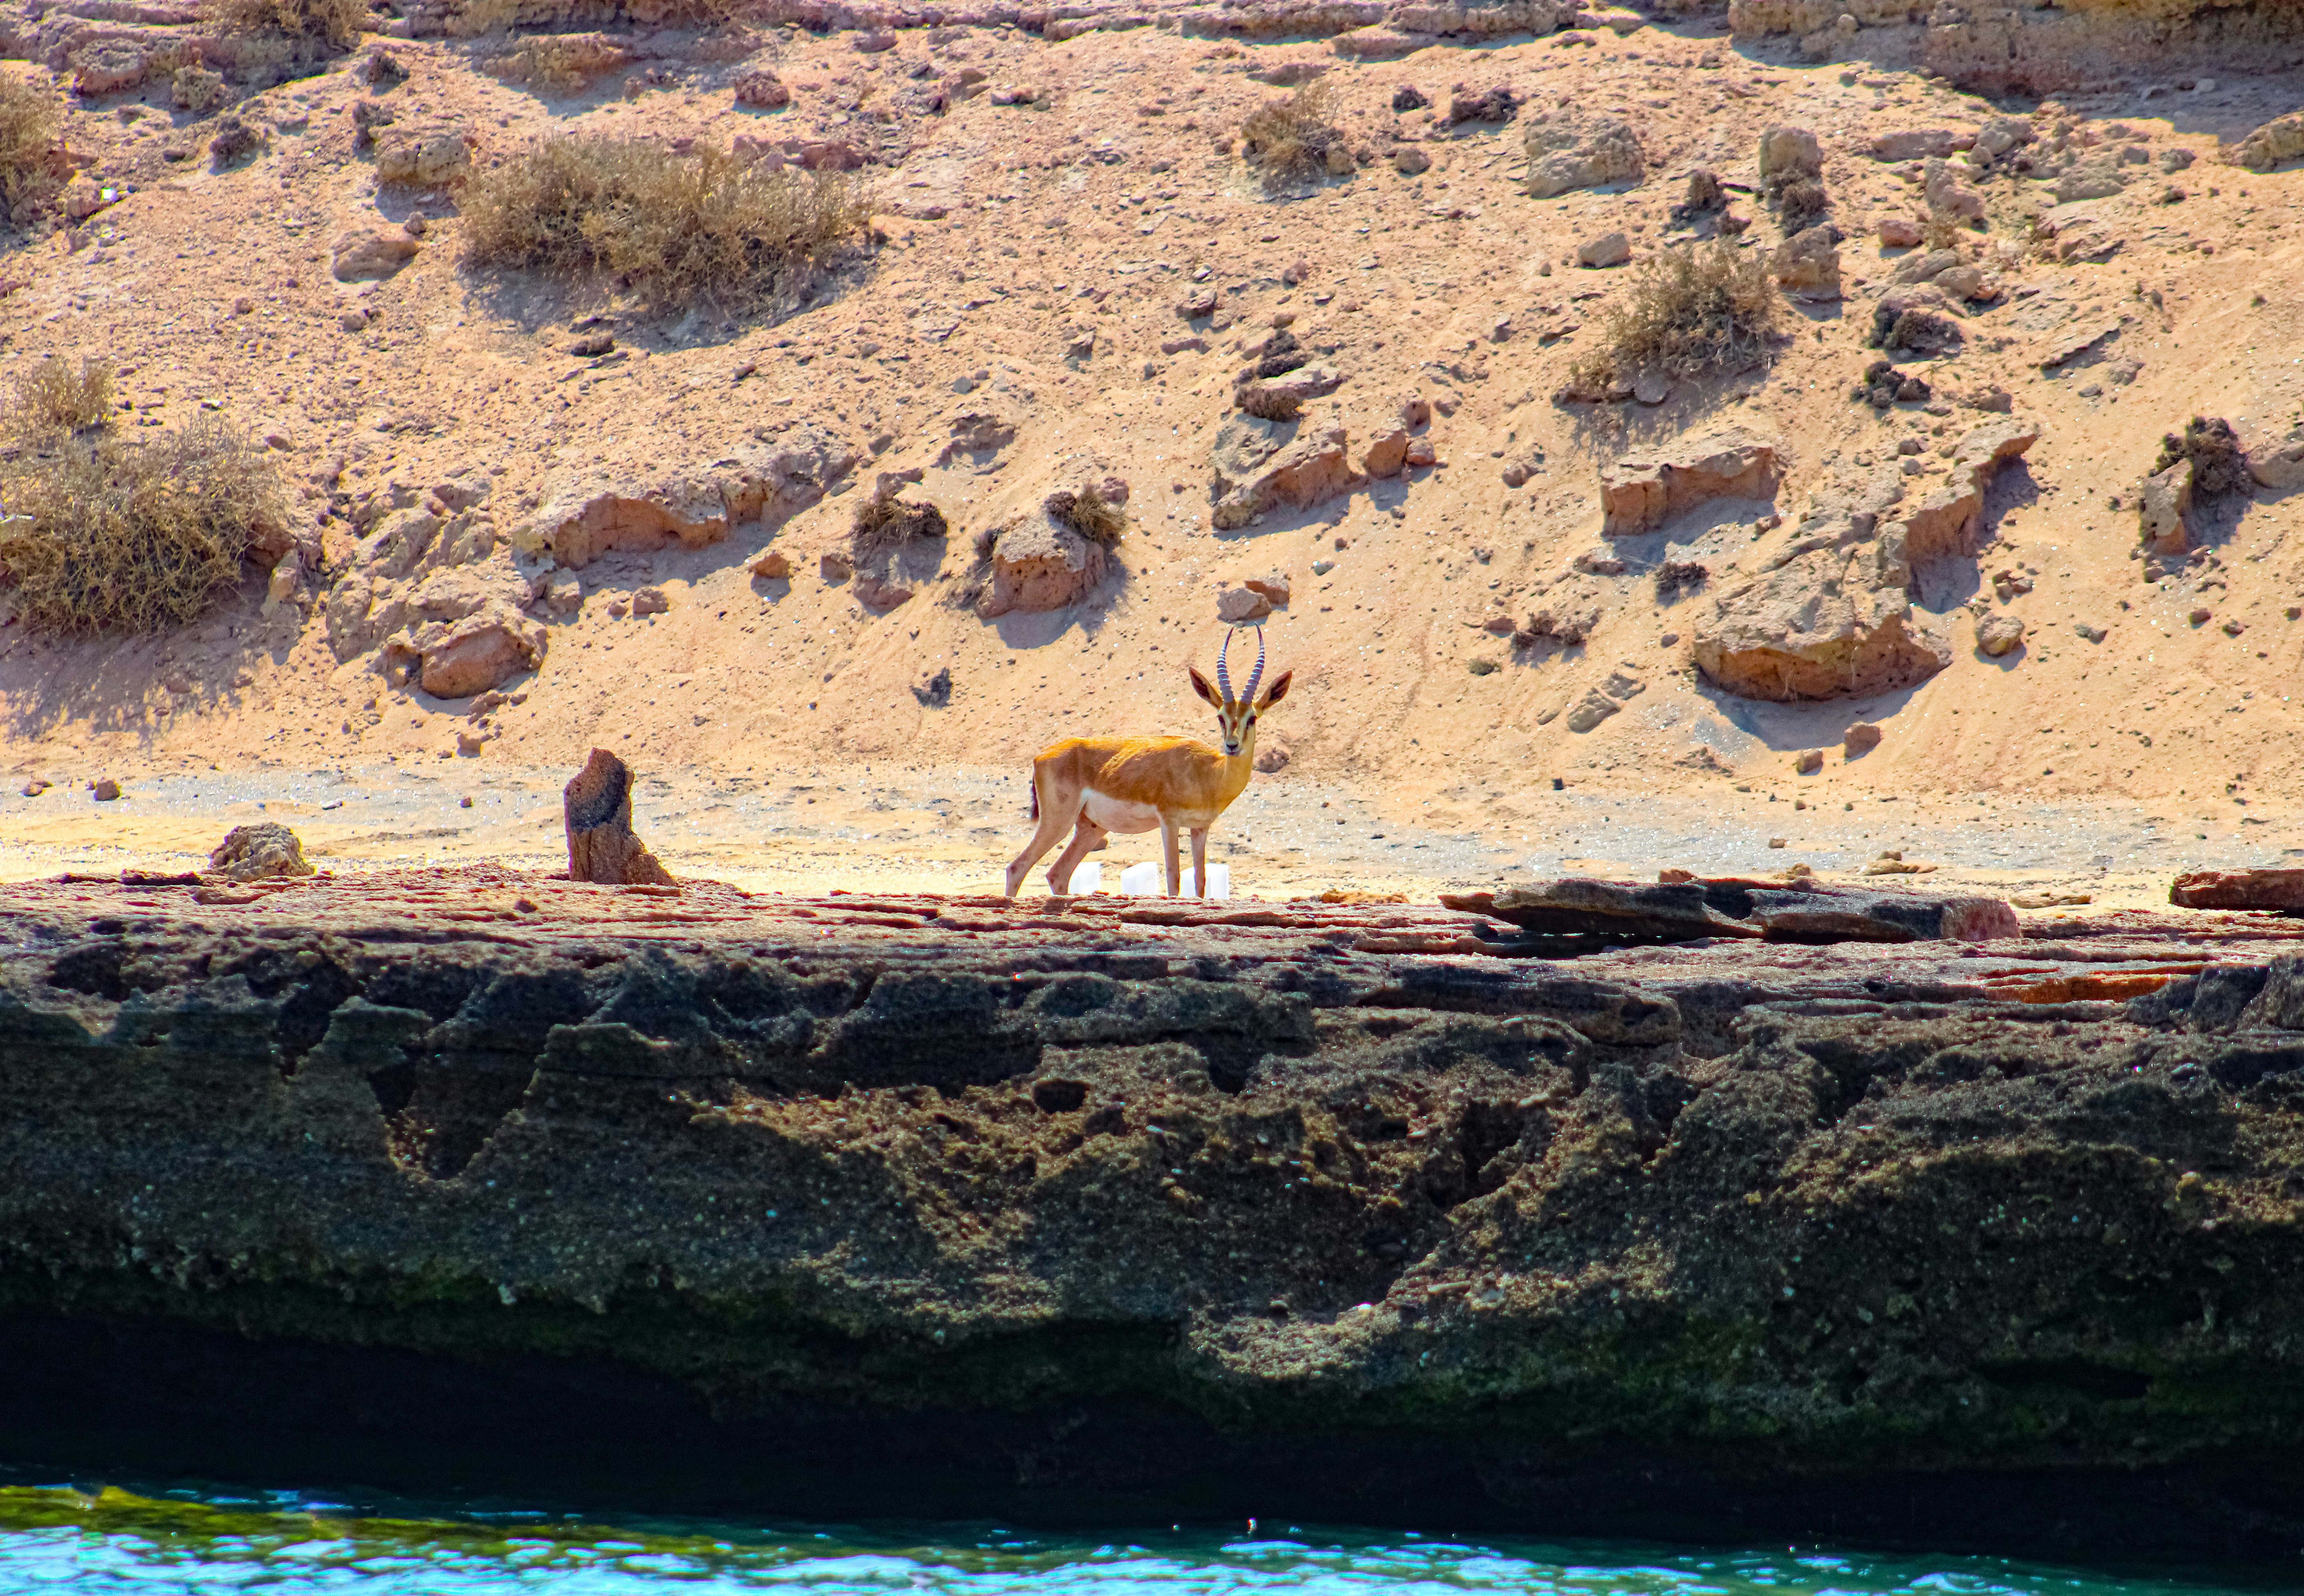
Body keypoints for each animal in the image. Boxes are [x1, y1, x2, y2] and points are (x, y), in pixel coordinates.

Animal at [1004, 626, 1291, 900]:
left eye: (1252, 718)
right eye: (1221, 717)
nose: (1232, 746)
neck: (1209, 774)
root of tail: (1040, 756)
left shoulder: (1200, 828)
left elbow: (1200, 882)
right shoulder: (1169, 822)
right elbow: (1174, 879)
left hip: (1091, 829)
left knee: (1057, 874)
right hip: (1058, 822)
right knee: (1017, 868)